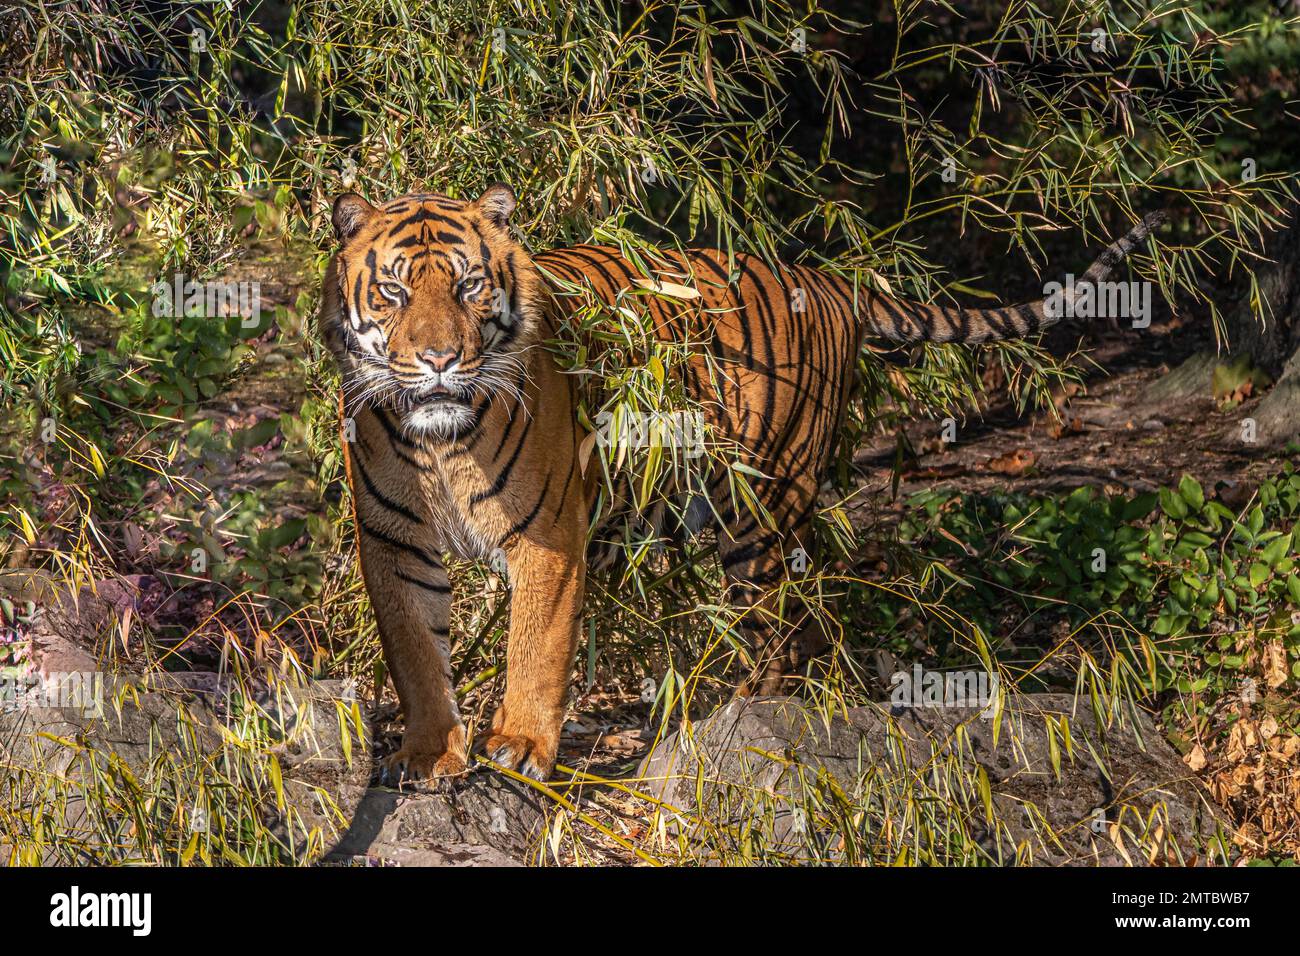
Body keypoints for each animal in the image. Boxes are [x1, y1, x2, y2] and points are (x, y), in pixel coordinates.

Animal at [320, 183, 1161, 782]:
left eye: (468, 287)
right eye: (394, 292)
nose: (438, 360)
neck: (438, 446)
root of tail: (825, 278)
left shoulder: (547, 537)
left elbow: (534, 644)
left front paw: (521, 746)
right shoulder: (393, 543)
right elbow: (416, 656)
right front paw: (428, 754)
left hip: (762, 509)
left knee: (780, 633)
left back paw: (739, 721)